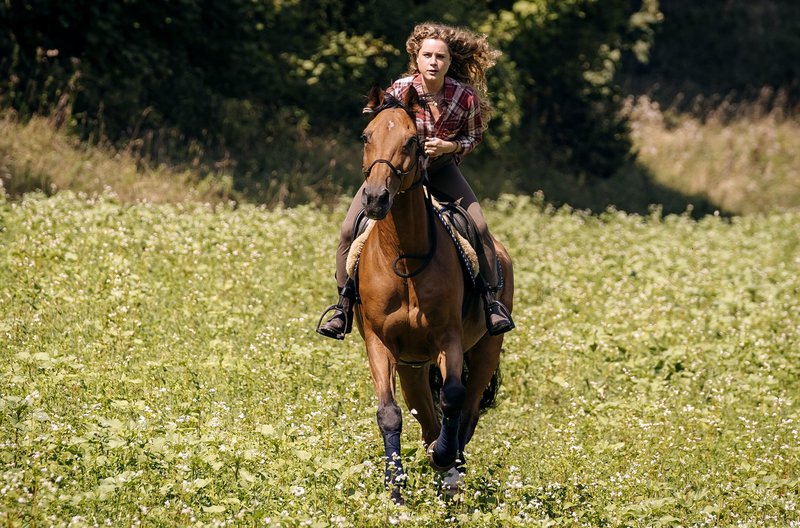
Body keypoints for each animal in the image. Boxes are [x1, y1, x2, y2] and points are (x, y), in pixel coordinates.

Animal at [354, 84, 516, 502]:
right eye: (366, 136)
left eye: (412, 140)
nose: (376, 198)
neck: (404, 258)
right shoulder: (379, 342)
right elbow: (389, 413)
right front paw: (395, 492)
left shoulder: (449, 338)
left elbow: (453, 396)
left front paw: (444, 460)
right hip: (411, 366)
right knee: (426, 418)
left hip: (487, 349)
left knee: (467, 411)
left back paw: (450, 466)